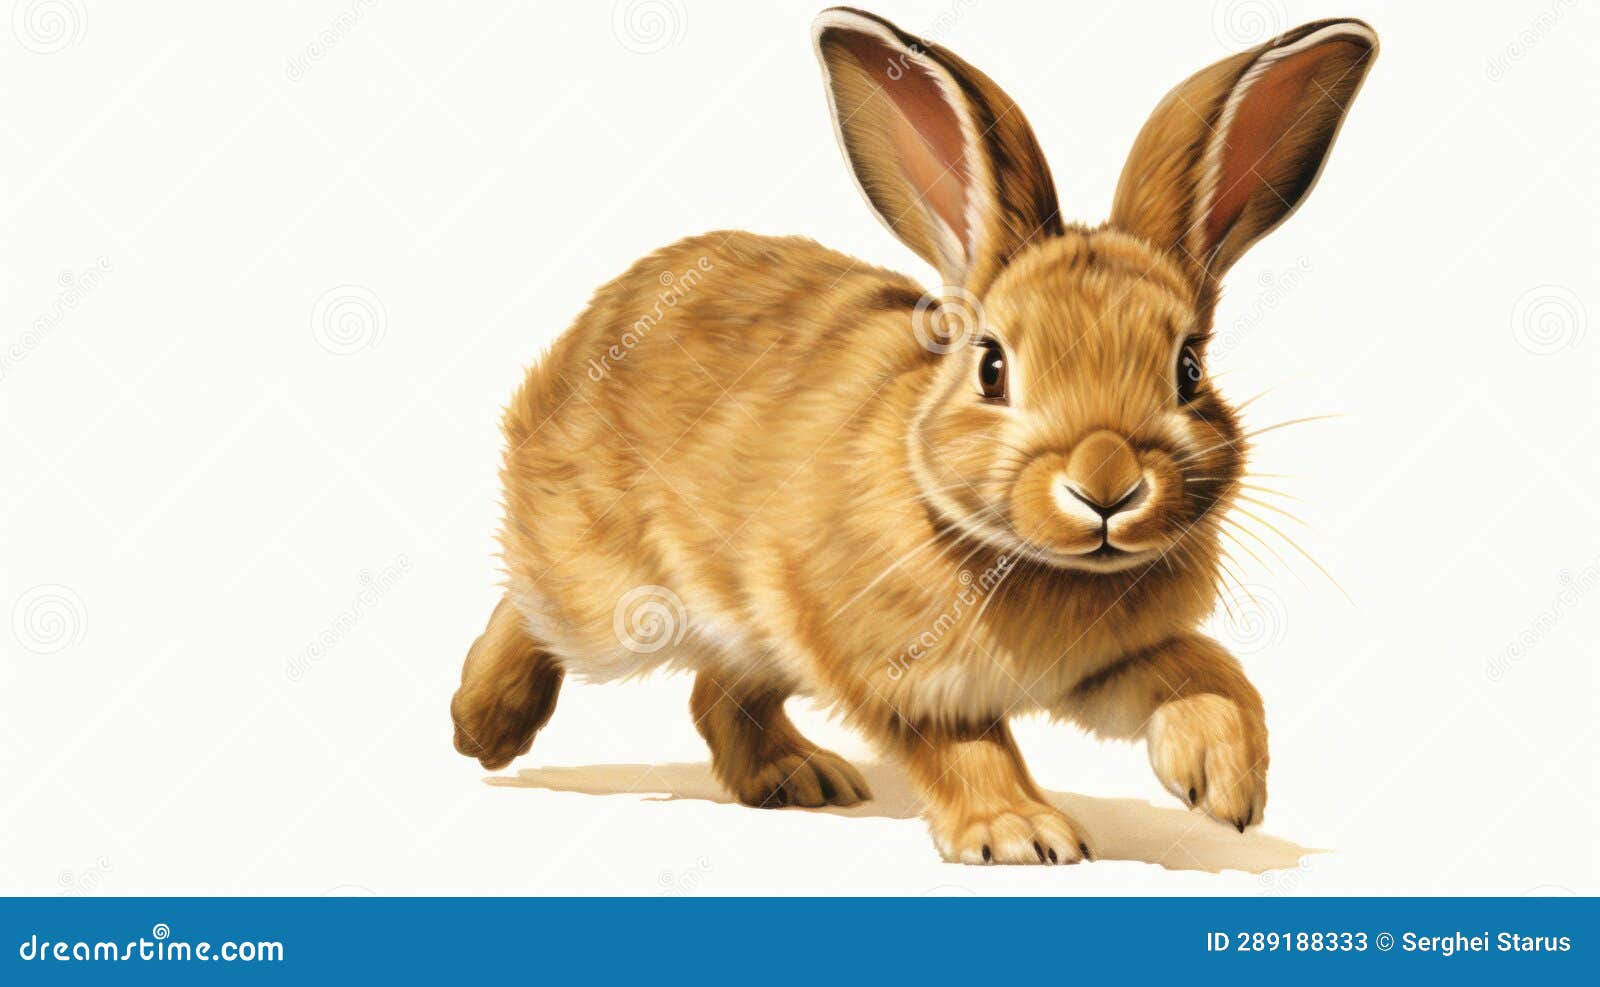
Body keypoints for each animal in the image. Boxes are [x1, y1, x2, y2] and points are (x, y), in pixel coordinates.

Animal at [450, 7, 1377, 864]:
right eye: (992, 367)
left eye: (1188, 370)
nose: (1107, 483)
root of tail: (588, 332)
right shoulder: (897, 671)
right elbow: (965, 746)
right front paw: (1021, 834)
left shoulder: (1108, 663)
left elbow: (1208, 670)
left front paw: (1224, 787)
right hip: (612, 595)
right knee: (532, 603)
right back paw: (482, 726)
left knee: (719, 692)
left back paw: (800, 776)